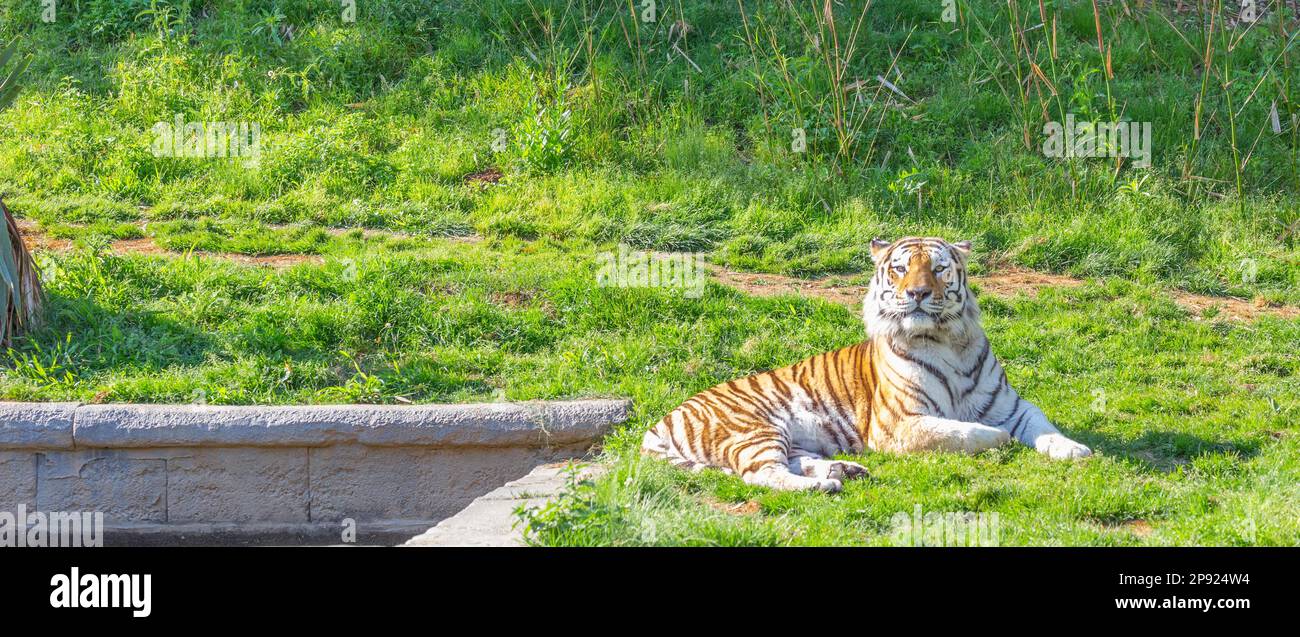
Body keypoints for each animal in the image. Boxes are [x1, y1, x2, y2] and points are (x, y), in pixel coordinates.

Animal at [642, 236, 1092, 492]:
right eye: (900, 269)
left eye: (938, 268)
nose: (917, 293)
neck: (949, 342)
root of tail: (663, 418)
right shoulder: (900, 423)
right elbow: (958, 432)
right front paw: (998, 439)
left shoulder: (1013, 406)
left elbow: (1044, 427)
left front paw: (1075, 449)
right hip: (752, 429)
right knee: (759, 474)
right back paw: (823, 487)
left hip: (787, 437)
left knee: (794, 461)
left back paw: (844, 471)